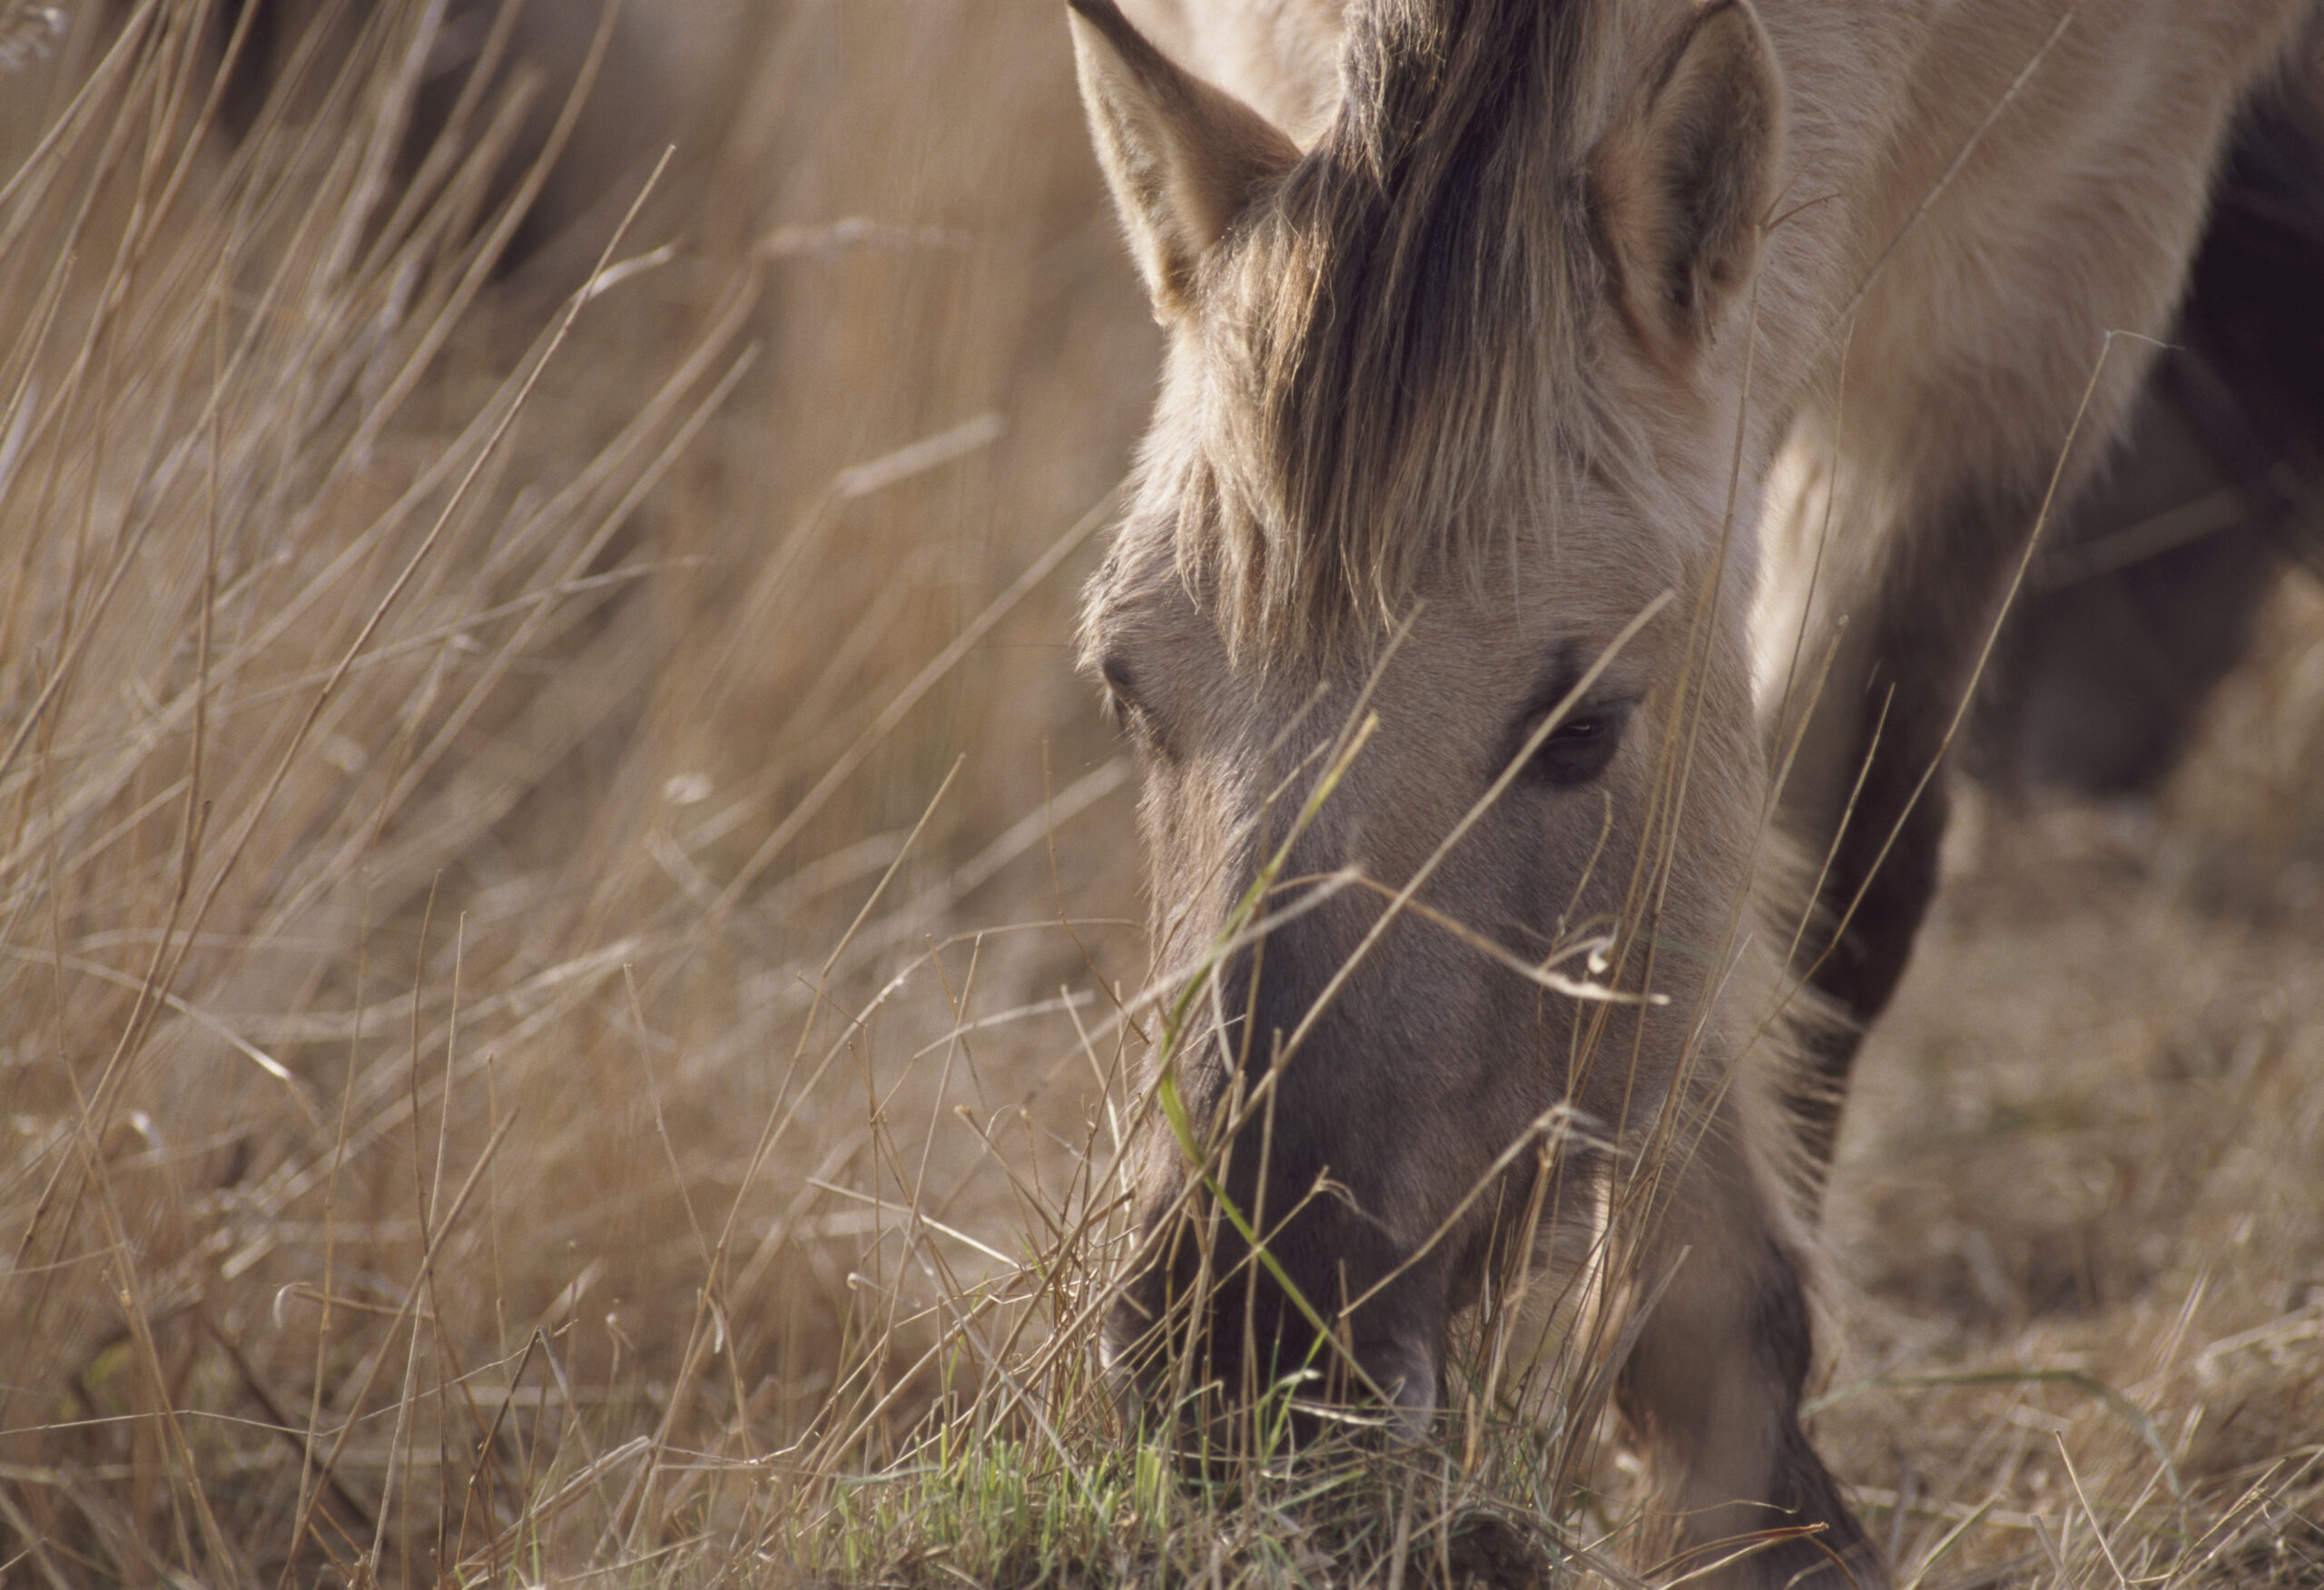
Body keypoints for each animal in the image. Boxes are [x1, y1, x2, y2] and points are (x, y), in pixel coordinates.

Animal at [1066, 0, 2321, 1583]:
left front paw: (1762, 1489)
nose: (1238, 1365)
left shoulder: (2033, 306)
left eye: (1587, 729)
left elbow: (1831, 890)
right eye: (1125, 686)